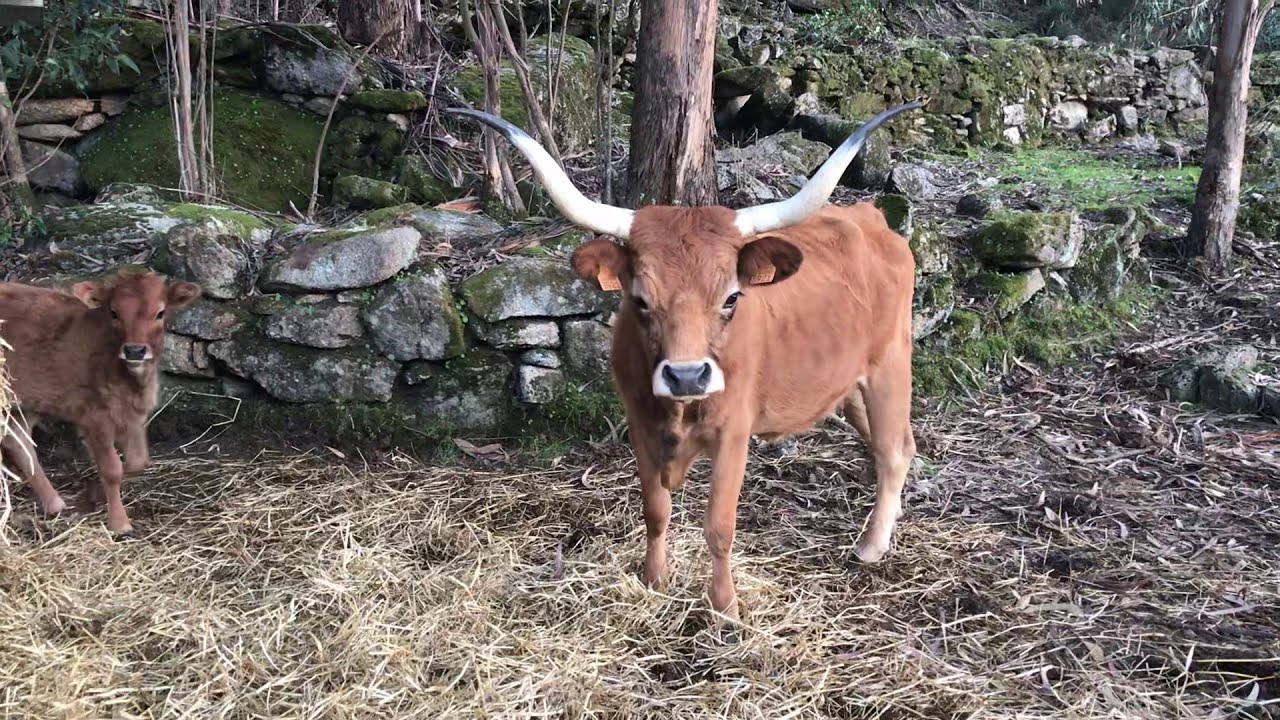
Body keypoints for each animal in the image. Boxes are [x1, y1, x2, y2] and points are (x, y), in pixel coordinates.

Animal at [0, 269, 201, 535]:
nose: (134, 351)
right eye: (114, 312)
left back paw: (54, 504)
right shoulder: (94, 418)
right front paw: (119, 523)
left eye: (160, 312)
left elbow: (137, 462)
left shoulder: (134, 415)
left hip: (26, 400)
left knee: (18, 440)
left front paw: (93, 495)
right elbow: (113, 469)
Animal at [450, 102, 921, 619]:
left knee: (894, 450)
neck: (677, 413)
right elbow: (655, 510)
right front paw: (654, 580)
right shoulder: (639, 422)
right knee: (891, 446)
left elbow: (719, 526)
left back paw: (871, 546)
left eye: (732, 297)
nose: (687, 376)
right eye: (640, 300)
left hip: (889, 367)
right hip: (849, 384)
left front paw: (725, 606)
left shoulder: (733, 432)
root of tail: (870, 216)